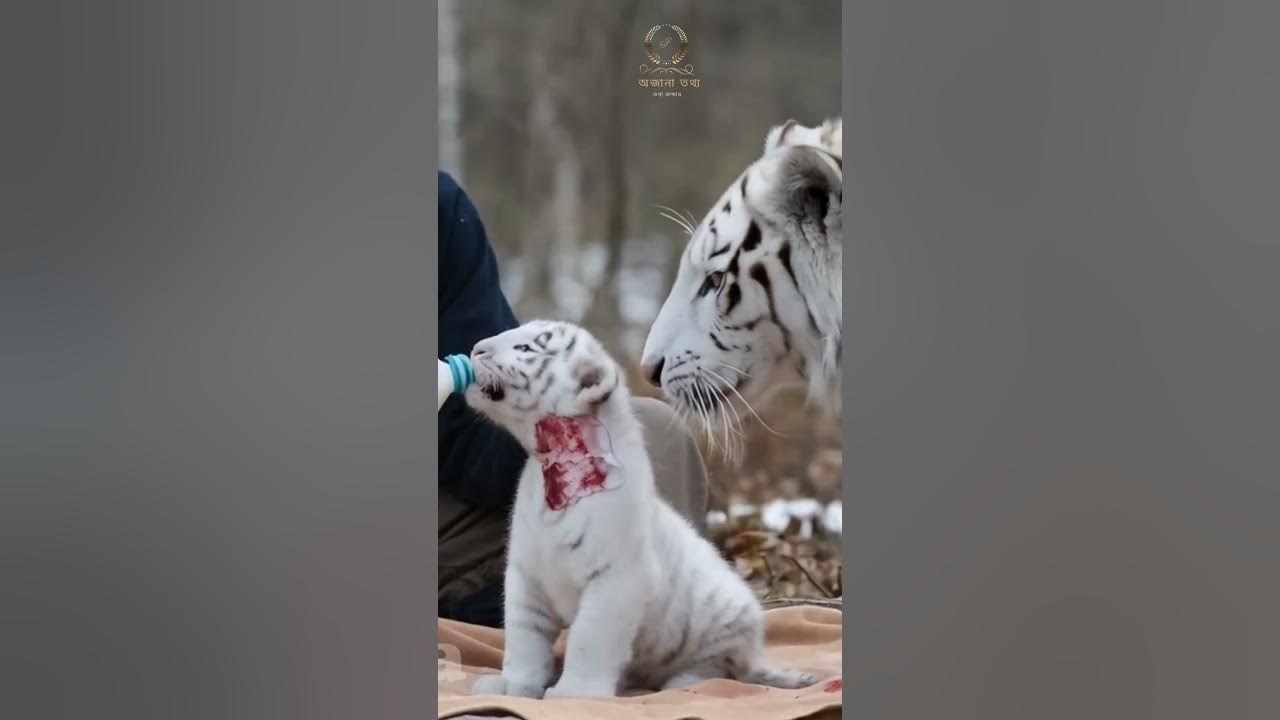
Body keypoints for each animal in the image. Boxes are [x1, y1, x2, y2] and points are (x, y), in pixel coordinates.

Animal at [464, 319, 819, 698]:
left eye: (526, 348)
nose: (475, 348)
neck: (553, 474)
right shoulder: (527, 573)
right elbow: (523, 636)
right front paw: (511, 686)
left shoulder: (617, 577)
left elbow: (588, 638)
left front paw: (573, 693)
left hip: (729, 622)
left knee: (717, 669)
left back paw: (680, 684)